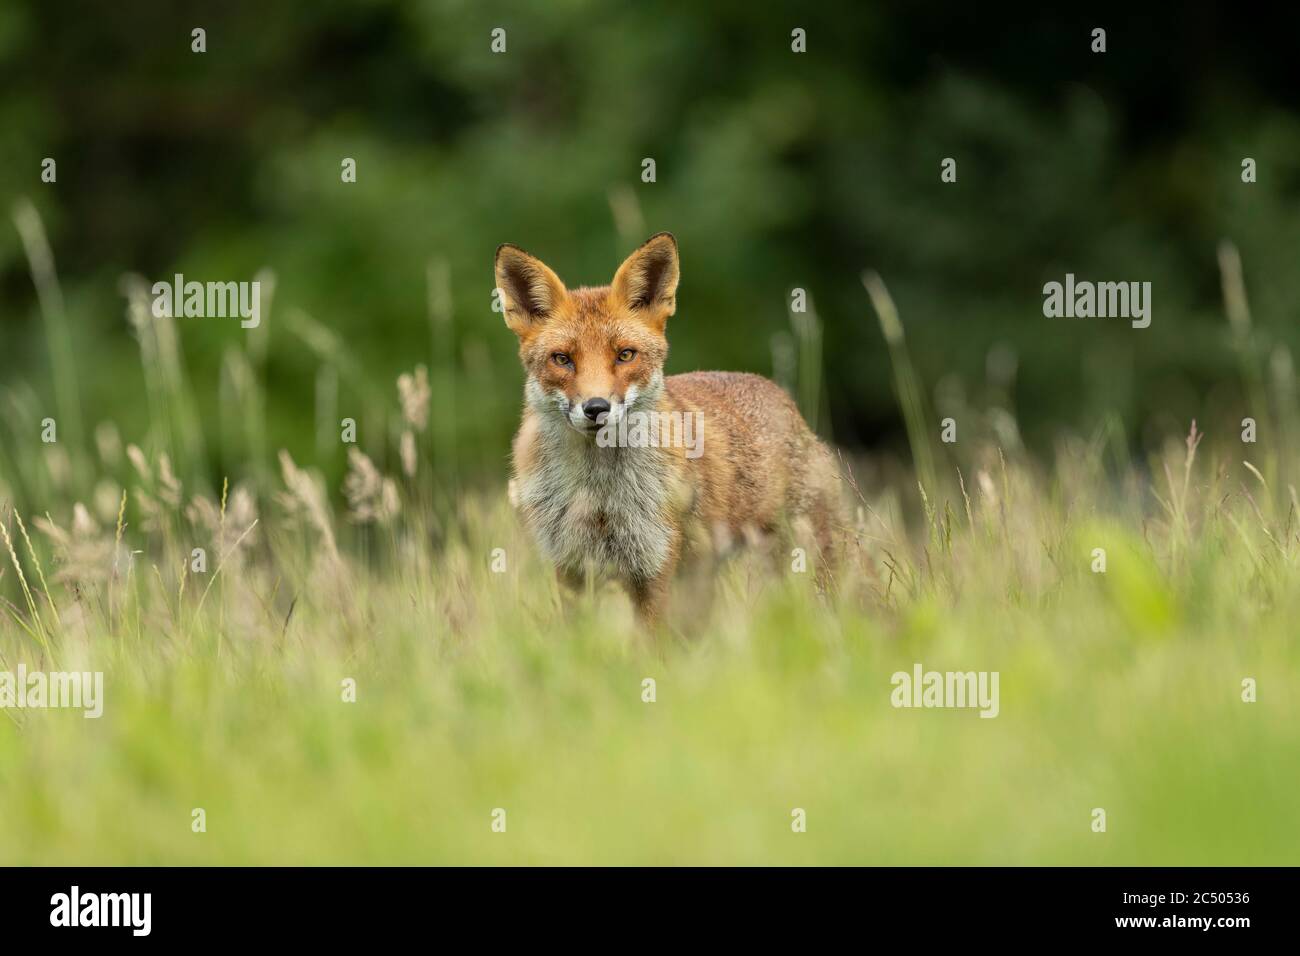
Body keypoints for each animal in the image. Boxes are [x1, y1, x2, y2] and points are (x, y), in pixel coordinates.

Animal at [497, 232, 843, 629]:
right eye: (562, 359)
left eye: (625, 355)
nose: (596, 407)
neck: (600, 495)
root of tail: (779, 395)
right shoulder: (571, 571)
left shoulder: (653, 568)